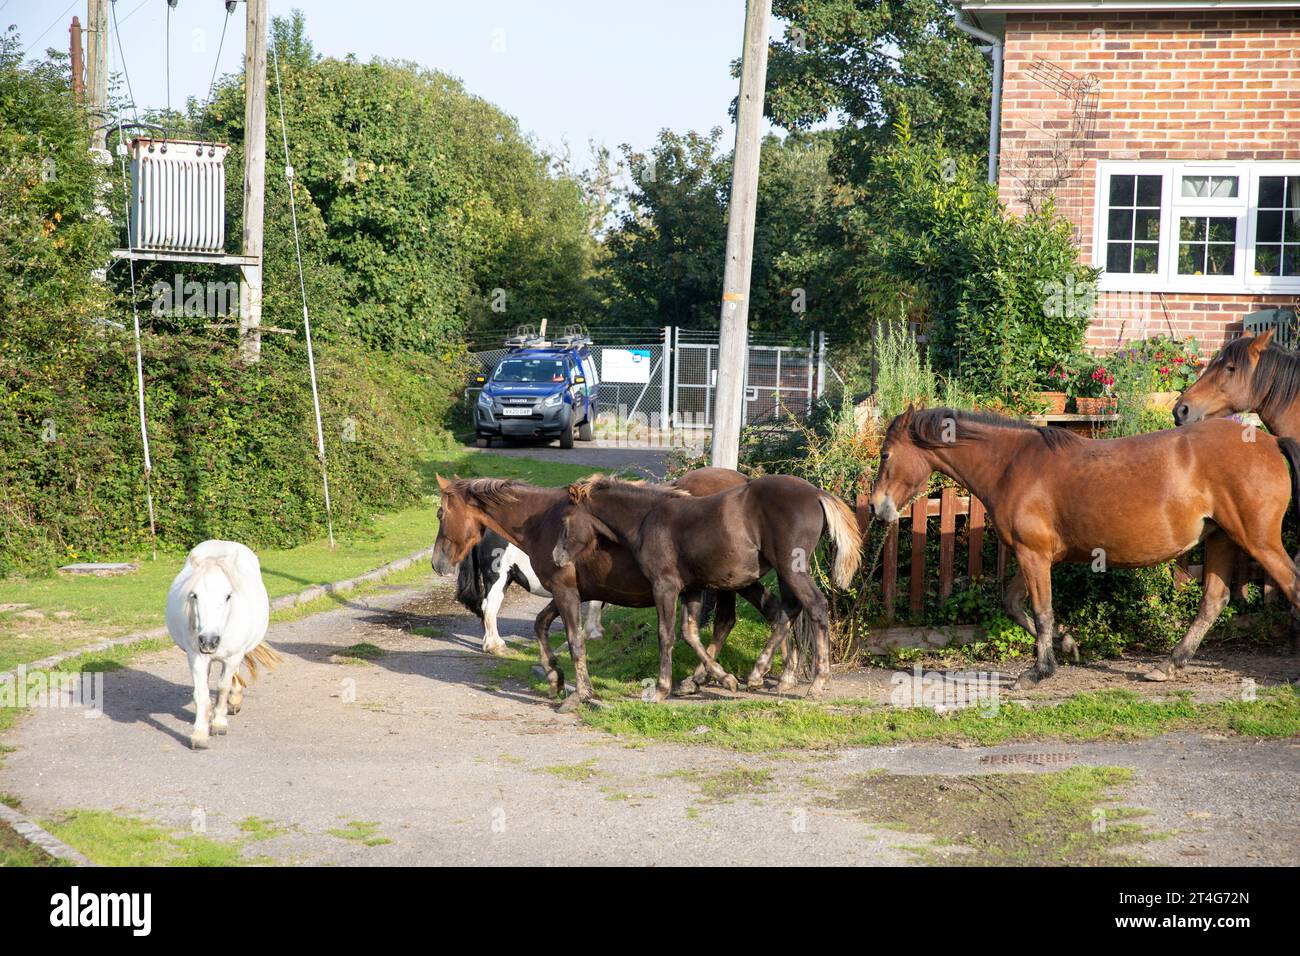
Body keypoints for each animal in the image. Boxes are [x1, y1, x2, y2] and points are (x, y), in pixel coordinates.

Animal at [165, 540, 280, 750]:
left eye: (228, 596)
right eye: (194, 595)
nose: (208, 641)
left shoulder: (233, 656)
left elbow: (223, 688)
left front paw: (219, 723)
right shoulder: (196, 657)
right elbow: (202, 693)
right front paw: (200, 734)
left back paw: (233, 701)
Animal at [551, 474, 862, 700]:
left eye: (565, 521)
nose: (556, 557)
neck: (647, 519)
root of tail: (817, 493)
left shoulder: (665, 586)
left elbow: (667, 634)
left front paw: (662, 688)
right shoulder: (692, 588)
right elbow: (690, 633)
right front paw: (723, 679)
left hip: (790, 567)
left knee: (815, 606)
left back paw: (815, 682)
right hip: (784, 573)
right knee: (787, 610)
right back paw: (766, 675)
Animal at [869, 406, 1300, 686]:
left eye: (886, 454)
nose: (876, 507)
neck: (1012, 465)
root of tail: (1271, 442)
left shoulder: (1034, 555)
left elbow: (1041, 612)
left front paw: (1038, 672)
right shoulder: (1036, 556)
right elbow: (1014, 604)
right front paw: (1068, 646)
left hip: (1258, 541)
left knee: (1291, 586)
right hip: (1224, 538)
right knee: (1213, 601)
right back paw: (1168, 665)